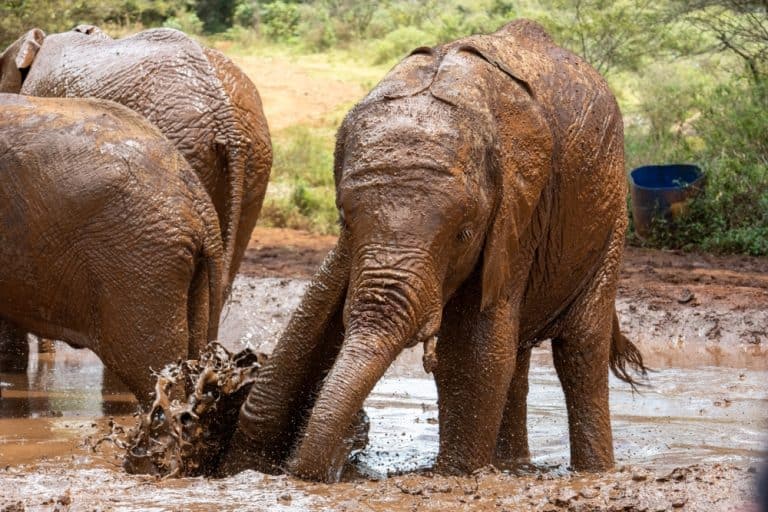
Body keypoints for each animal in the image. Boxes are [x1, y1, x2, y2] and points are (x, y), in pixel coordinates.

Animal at [222, 19, 647, 482]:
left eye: (464, 234)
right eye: (343, 219)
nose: (299, 473)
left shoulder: (517, 212)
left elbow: (473, 353)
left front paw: (455, 475)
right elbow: (312, 318)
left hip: (611, 215)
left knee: (579, 350)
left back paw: (593, 471)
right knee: (516, 354)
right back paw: (515, 468)